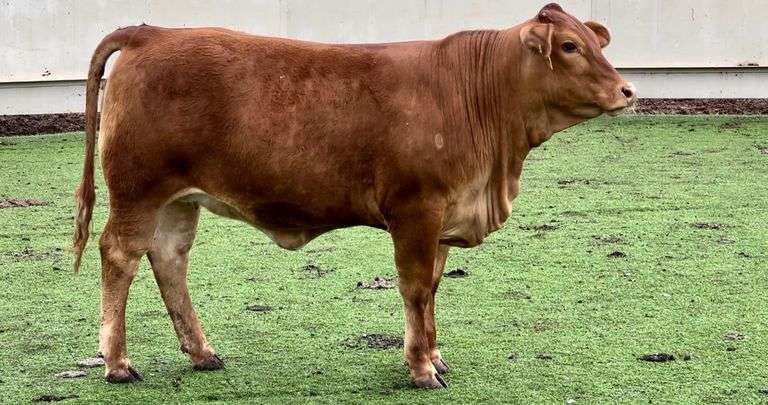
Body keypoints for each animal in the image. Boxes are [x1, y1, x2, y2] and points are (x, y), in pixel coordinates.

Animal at [73, 3, 636, 389]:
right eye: (570, 46)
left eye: (598, 44)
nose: (627, 91)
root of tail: (150, 32)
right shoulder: (416, 210)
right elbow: (414, 289)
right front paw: (421, 368)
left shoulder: (444, 219)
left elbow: (434, 288)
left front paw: (436, 356)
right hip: (138, 191)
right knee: (120, 256)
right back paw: (118, 363)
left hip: (178, 201)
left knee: (169, 260)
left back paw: (202, 353)